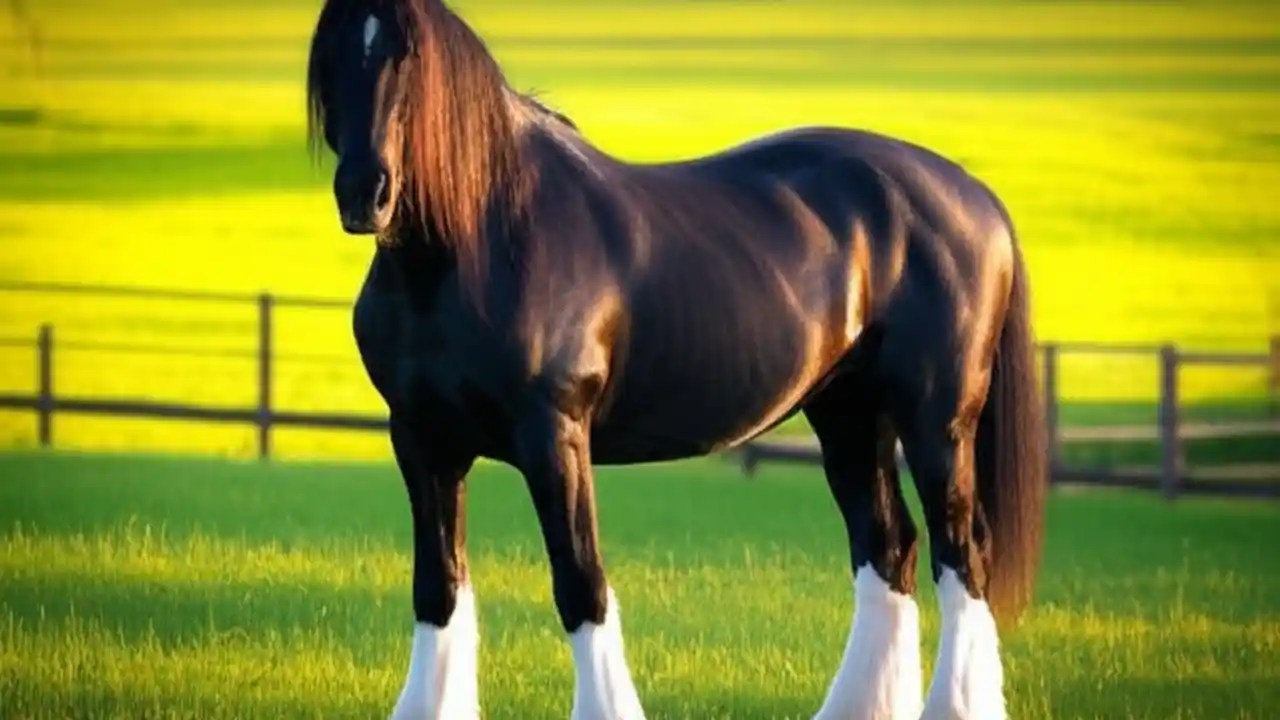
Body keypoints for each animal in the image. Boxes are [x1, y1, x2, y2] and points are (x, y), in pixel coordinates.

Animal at [306, 1, 1047, 718]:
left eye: (409, 56)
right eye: (332, 52)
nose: (365, 193)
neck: (481, 242)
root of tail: (973, 195)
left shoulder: (554, 435)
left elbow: (581, 584)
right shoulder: (422, 440)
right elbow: (438, 588)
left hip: (936, 421)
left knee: (961, 554)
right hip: (848, 414)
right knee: (889, 546)